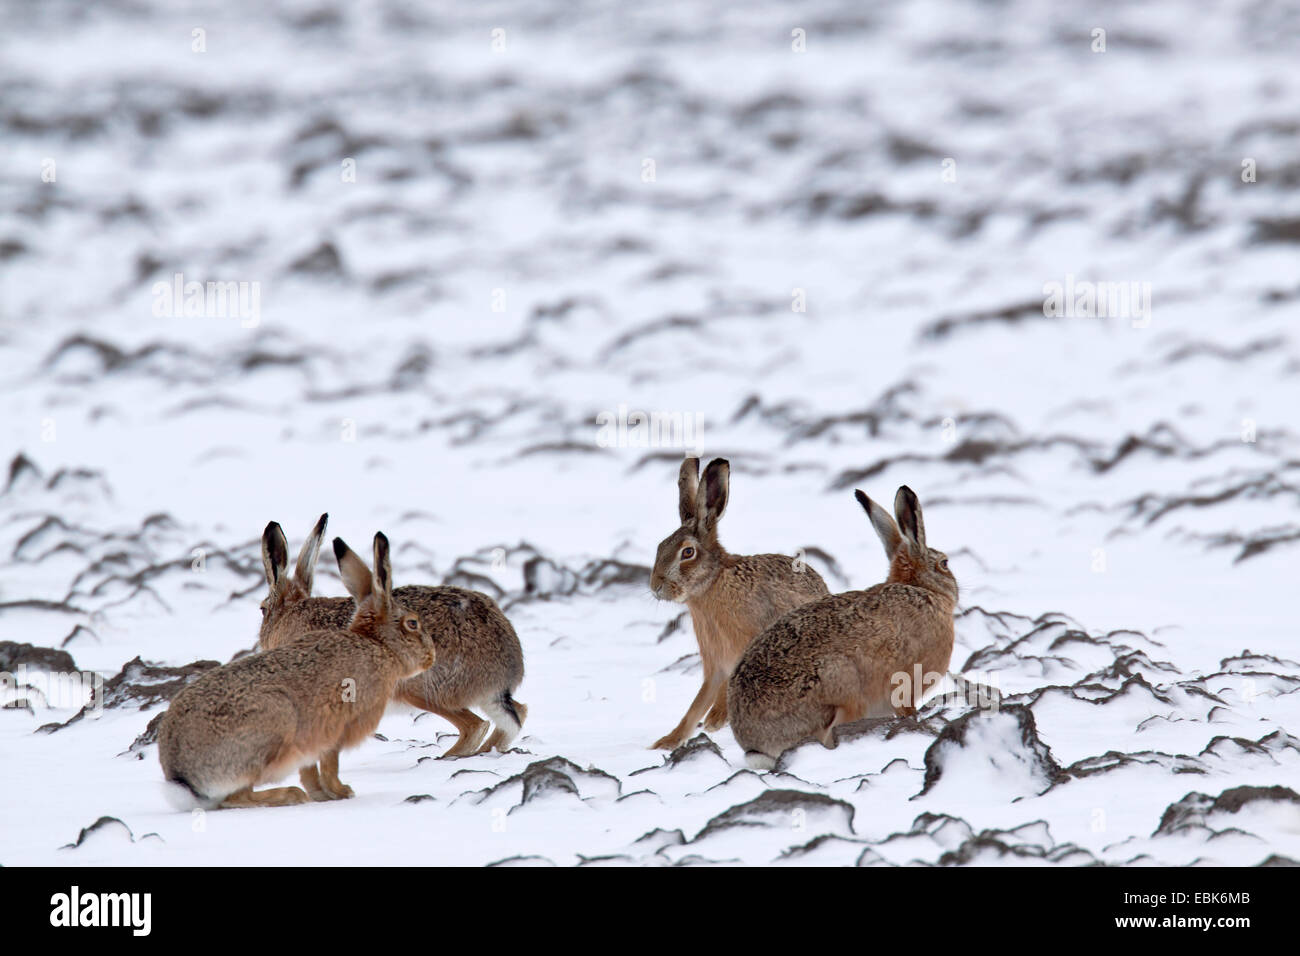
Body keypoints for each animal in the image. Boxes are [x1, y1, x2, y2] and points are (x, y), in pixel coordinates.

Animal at [159, 532, 435, 808]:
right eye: (413, 624)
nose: (431, 656)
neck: (378, 645)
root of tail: (182, 777)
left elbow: (312, 768)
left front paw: (321, 794)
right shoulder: (337, 725)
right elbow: (330, 763)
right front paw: (341, 792)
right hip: (276, 720)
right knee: (237, 796)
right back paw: (289, 794)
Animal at [648, 457, 829, 750]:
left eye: (688, 552)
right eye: (660, 547)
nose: (655, 586)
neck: (711, 585)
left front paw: (716, 719)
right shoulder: (713, 661)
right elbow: (696, 705)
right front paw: (667, 741)